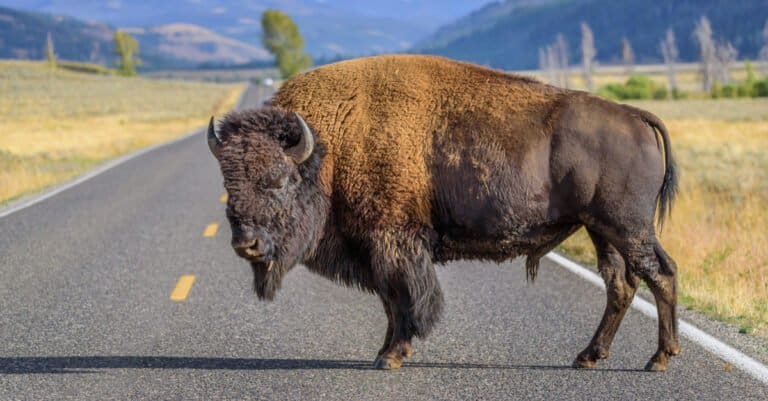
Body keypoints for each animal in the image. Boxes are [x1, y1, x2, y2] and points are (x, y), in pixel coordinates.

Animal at [207, 54, 679, 371]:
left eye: (278, 180)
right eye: (229, 184)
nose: (246, 244)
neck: (331, 144)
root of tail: (635, 116)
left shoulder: (393, 241)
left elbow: (405, 298)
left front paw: (392, 356)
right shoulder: (377, 248)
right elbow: (391, 301)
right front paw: (385, 352)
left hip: (626, 228)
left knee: (659, 274)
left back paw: (659, 358)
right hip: (602, 230)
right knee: (621, 284)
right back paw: (589, 356)